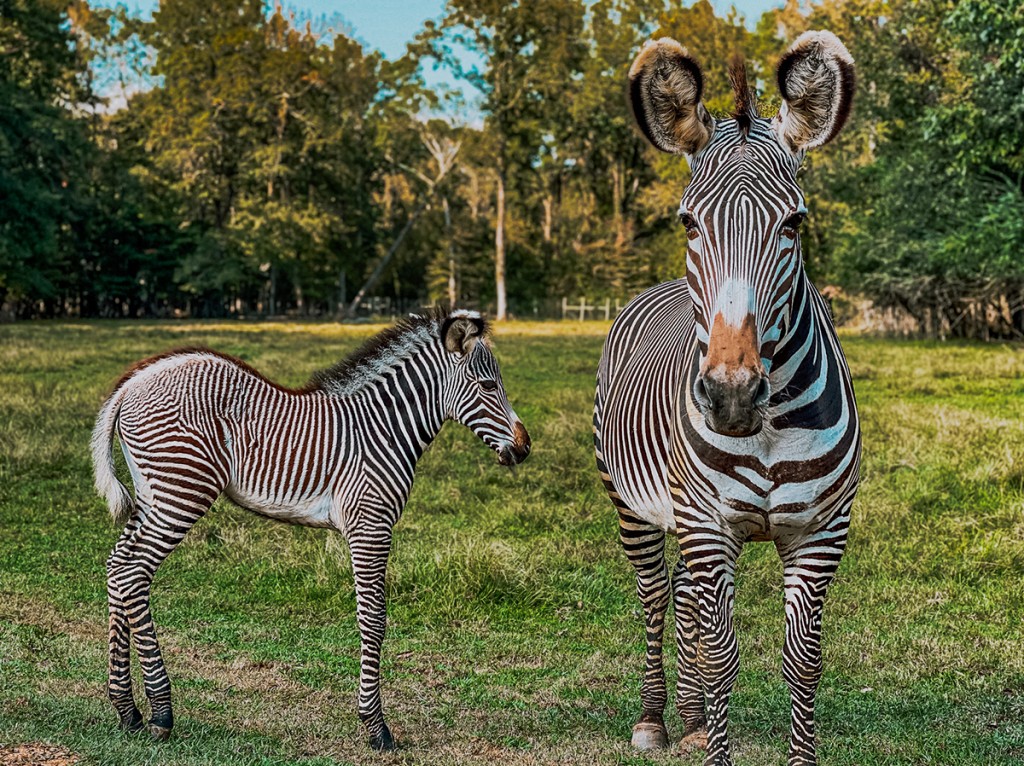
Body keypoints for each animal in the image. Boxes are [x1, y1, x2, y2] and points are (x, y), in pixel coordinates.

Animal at [91, 309, 530, 751]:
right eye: (489, 385)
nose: (525, 448)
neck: (383, 430)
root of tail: (133, 382)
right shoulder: (371, 525)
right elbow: (373, 618)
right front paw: (375, 727)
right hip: (182, 492)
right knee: (134, 574)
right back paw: (161, 712)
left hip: (153, 494)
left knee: (117, 567)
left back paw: (127, 709)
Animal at [594, 33, 861, 766]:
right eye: (688, 224)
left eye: (794, 223)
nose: (732, 395)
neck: (764, 430)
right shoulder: (709, 524)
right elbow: (722, 659)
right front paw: (707, 729)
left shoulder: (820, 532)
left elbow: (803, 661)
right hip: (634, 504)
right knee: (658, 597)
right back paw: (657, 718)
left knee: (687, 600)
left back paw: (690, 718)